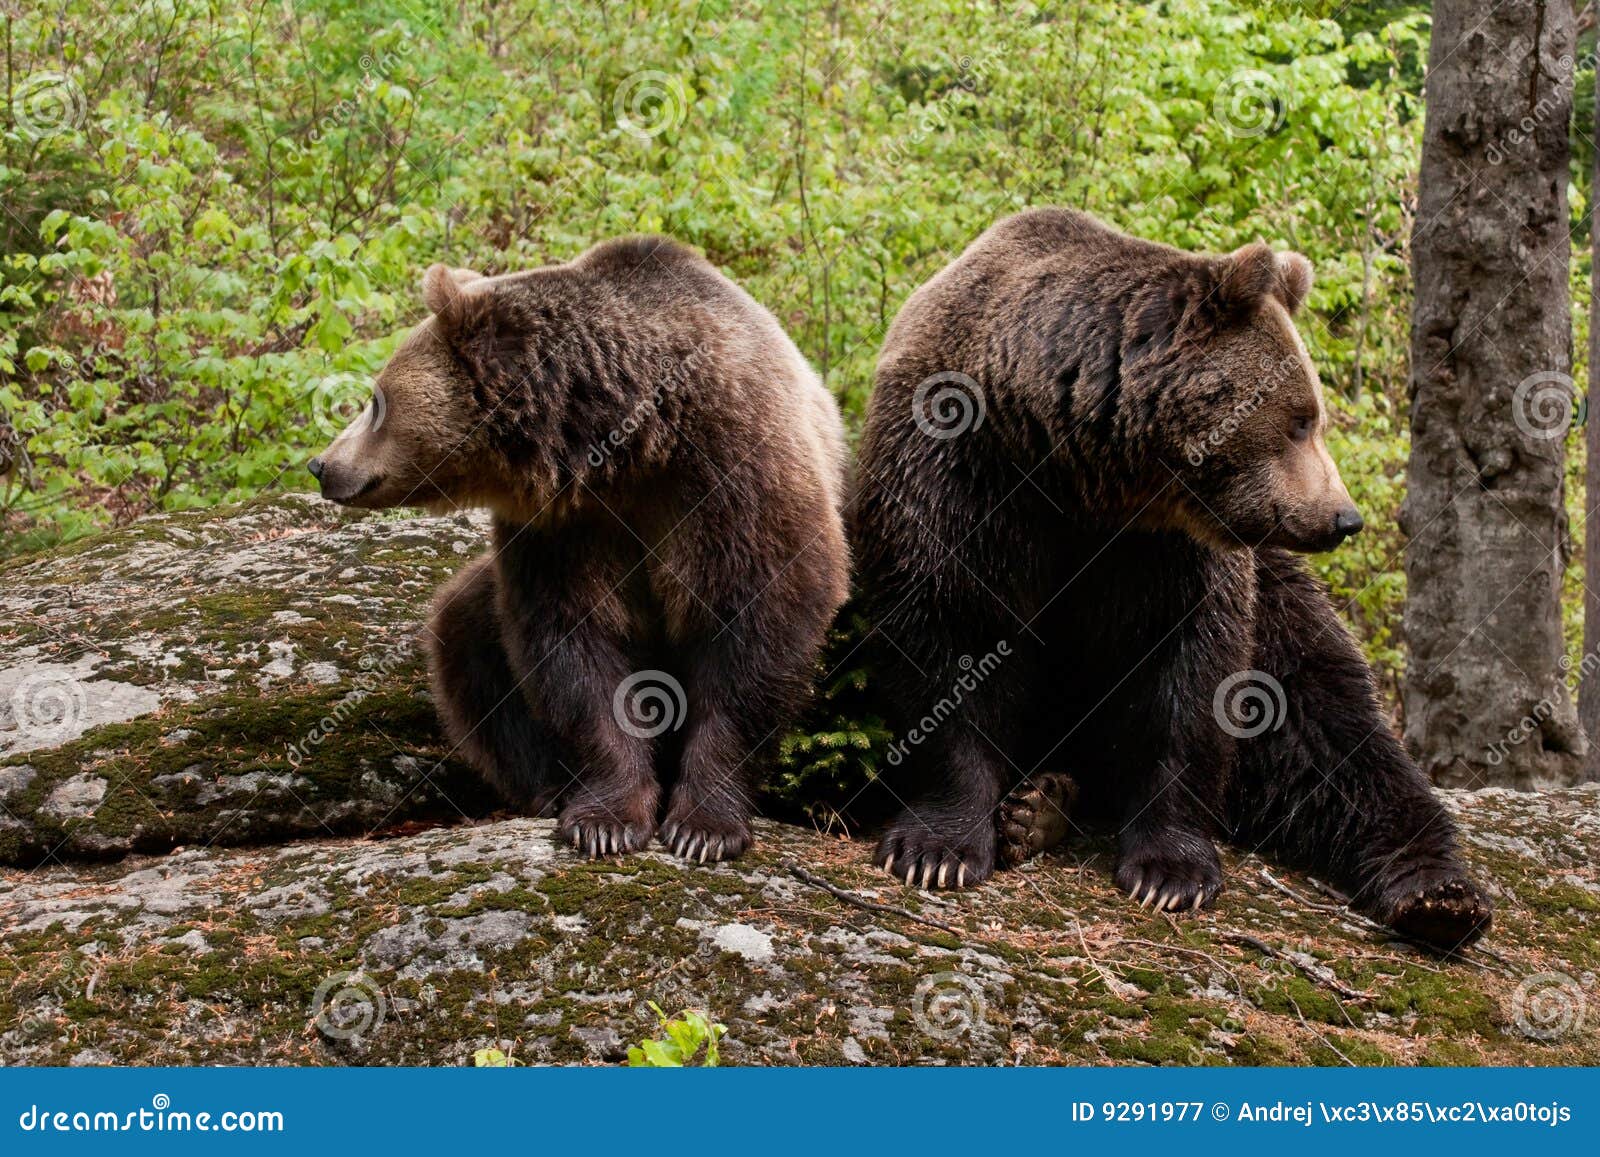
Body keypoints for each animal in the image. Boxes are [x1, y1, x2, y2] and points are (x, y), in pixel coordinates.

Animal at [309, 236, 850, 863]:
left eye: (375, 400)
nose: (321, 464)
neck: (630, 445)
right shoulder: (564, 528)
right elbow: (575, 647)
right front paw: (605, 819)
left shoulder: (734, 475)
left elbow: (754, 629)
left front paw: (703, 828)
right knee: (465, 637)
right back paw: (548, 788)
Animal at [851, 207, 1492, 951]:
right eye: (1300, 420)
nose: (1344, 516)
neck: (1073, 470)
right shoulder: (957, 473)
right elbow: (949, 632)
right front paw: (937, 848)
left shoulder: (1171, 553)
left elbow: (1192, 678)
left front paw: (1170, 870)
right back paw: (1038, 808)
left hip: (1279, 595)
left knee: (1332, 724)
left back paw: (1439, 892)